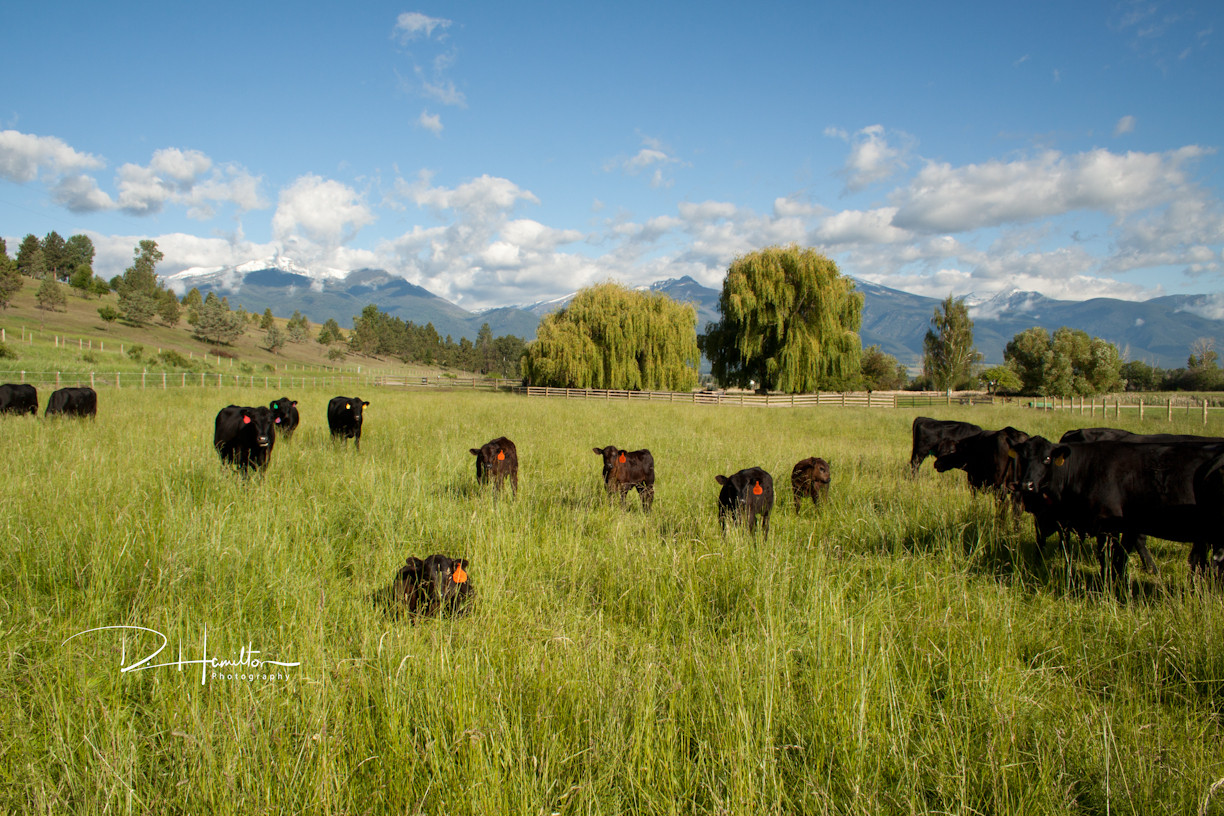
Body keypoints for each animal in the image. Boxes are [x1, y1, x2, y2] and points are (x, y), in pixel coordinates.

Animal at [1010, 435, 1224, 580]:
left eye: (1046, 459)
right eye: (1023, 458)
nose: (1026, 485)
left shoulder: (1107, 526)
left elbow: (1107, 558)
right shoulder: (1127, 525)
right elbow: (1120, 558)